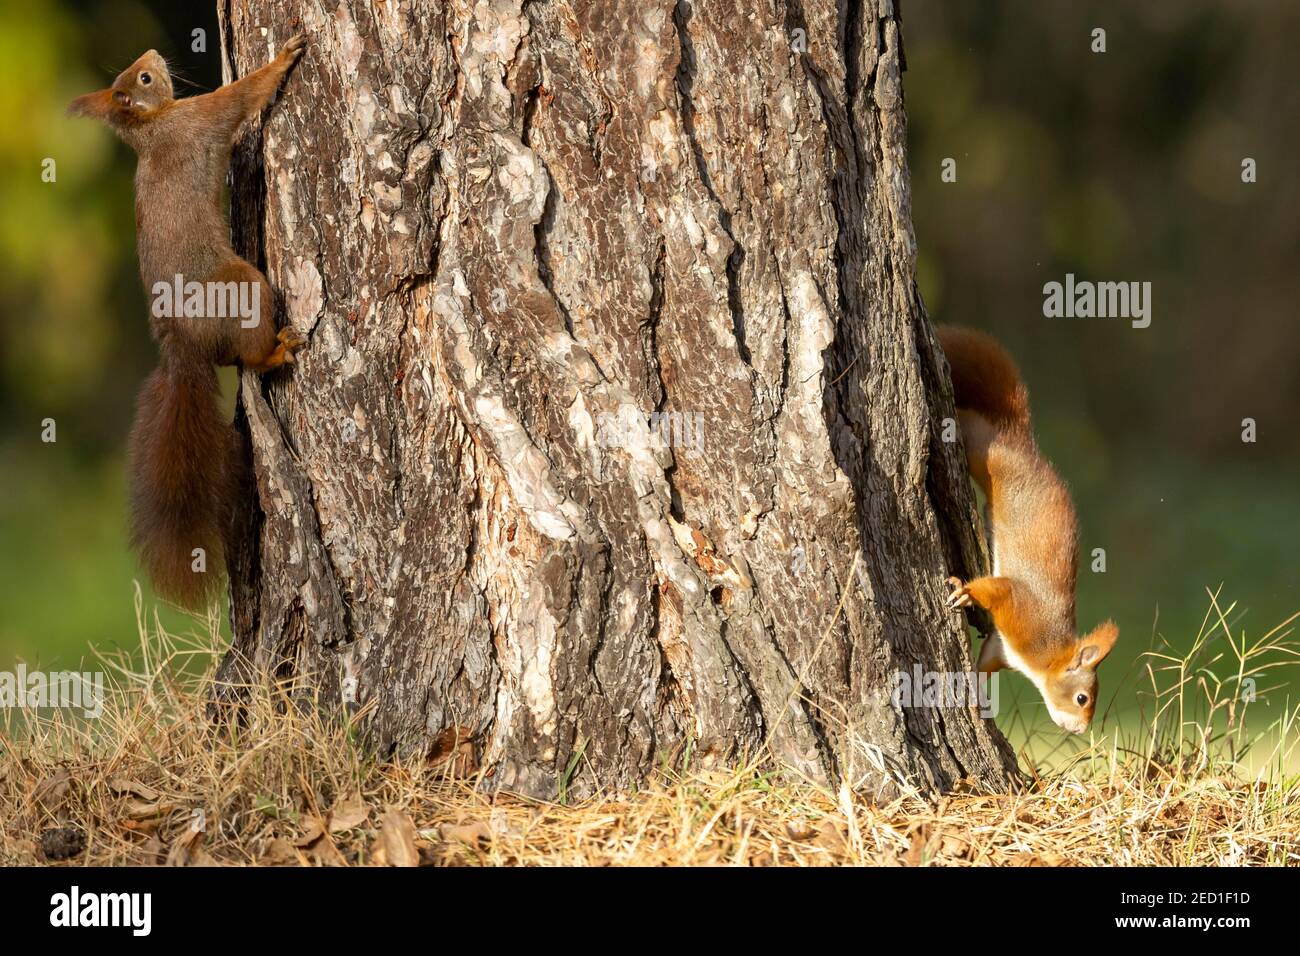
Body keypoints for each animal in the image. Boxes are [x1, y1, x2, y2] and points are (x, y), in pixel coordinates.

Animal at [69, 35, 308, 608]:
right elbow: (242, 98)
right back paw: (277, 350)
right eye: (144, 80)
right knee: (249, 357)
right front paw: (283, 57)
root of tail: (181, 344)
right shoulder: (201, 120)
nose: (152, 56)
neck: (153, 128)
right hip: (242, 282)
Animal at [937, 325, 1118, 733]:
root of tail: (1023, 444)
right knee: (970, 426)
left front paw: (978, 694)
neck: (1045, 657)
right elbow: (996, 589)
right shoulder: (1019, 608)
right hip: (986, 453)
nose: (1080, 731)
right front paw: (964, 591)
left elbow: (984, 664)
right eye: (1082, 698)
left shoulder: (1000, 647)